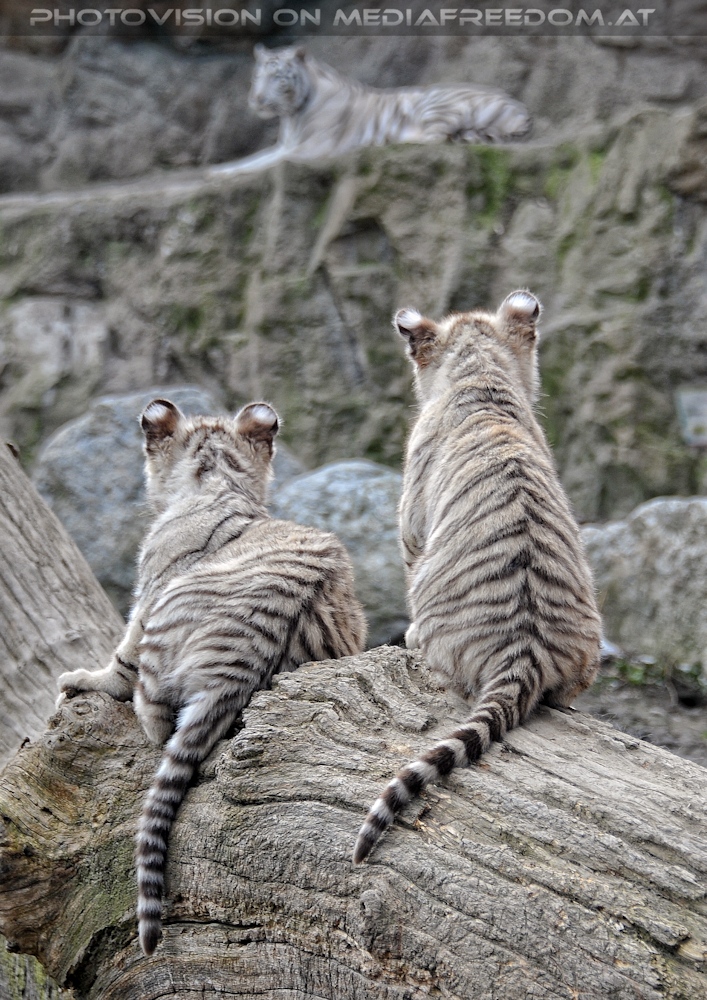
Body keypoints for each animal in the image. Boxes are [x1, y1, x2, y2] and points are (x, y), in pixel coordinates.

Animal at [57, 397, 367, 955]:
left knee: (157, 721)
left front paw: (82, 679)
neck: (218, 477)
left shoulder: (147, 595)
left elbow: (120, 657)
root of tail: (240, 661)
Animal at [209, 44, 531, 176]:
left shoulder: (307, 149)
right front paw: (217, 171)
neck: (291, 115)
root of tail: (520, 108)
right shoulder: (286, 144)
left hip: (434, 104)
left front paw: (221, 175)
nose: (257, 99)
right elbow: (255, 158)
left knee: (434, 139)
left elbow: (265, 162)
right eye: (257, 76)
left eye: (277, 77)